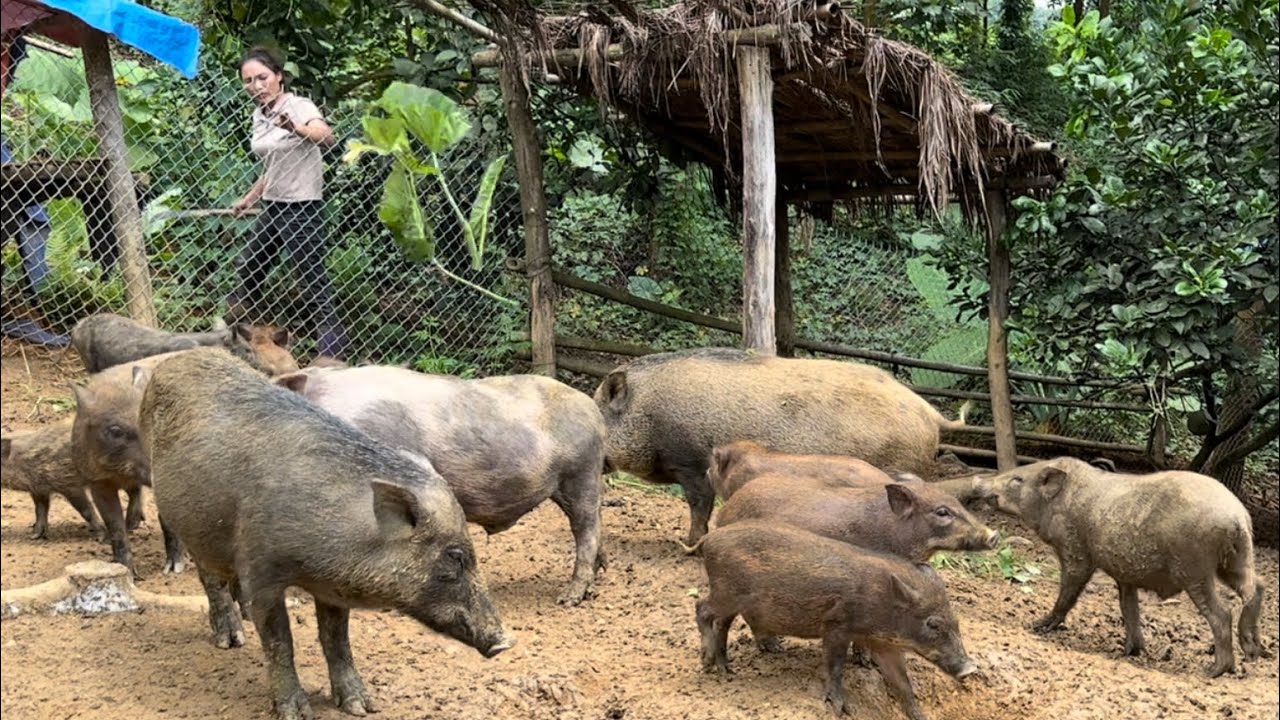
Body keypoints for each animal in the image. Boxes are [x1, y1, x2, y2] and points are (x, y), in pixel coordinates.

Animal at [139, 347, 515, 720]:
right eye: (456, 556)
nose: (504, 641)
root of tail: (178, 357)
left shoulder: (332, 589)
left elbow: (336, 639)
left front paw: (362, 707)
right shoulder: (262, 569)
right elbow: (280, 641)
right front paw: (297, 713)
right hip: (189, 521)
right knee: (210, 580)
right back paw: (232, 639)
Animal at [594, 348, 969, 544]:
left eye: (597, 415)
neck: (648, 413)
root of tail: (931, 414)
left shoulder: (691, 463)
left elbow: (699, 507)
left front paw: (687, 543)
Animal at [696, 521, 976, 719]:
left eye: (957, 621)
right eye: (932, 624)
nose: (970, 668)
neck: (882, 603)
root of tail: (709, 539)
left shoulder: (884, 645)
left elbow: (903, 684)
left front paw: (920, 715)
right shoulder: (835, 625)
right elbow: (836, 666)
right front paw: (842, 709)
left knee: (723, 624)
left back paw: (727, 669)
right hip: (725, 593)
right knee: (701, 608)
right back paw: (708, 662)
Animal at [977, 457, 1266, 677]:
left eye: (1017, 479)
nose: (978, 480)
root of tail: (1237, 516)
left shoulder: (1076, 551)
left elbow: (1070, 588)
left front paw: (1037, 626)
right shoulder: (1124, 575)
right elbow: (1128, 608)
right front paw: (1130, 651)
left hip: (1194, 567)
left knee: (1223, 612)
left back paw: (1214, 670)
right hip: (1237, 559)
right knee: (1257, 588)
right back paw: (1253, 653)